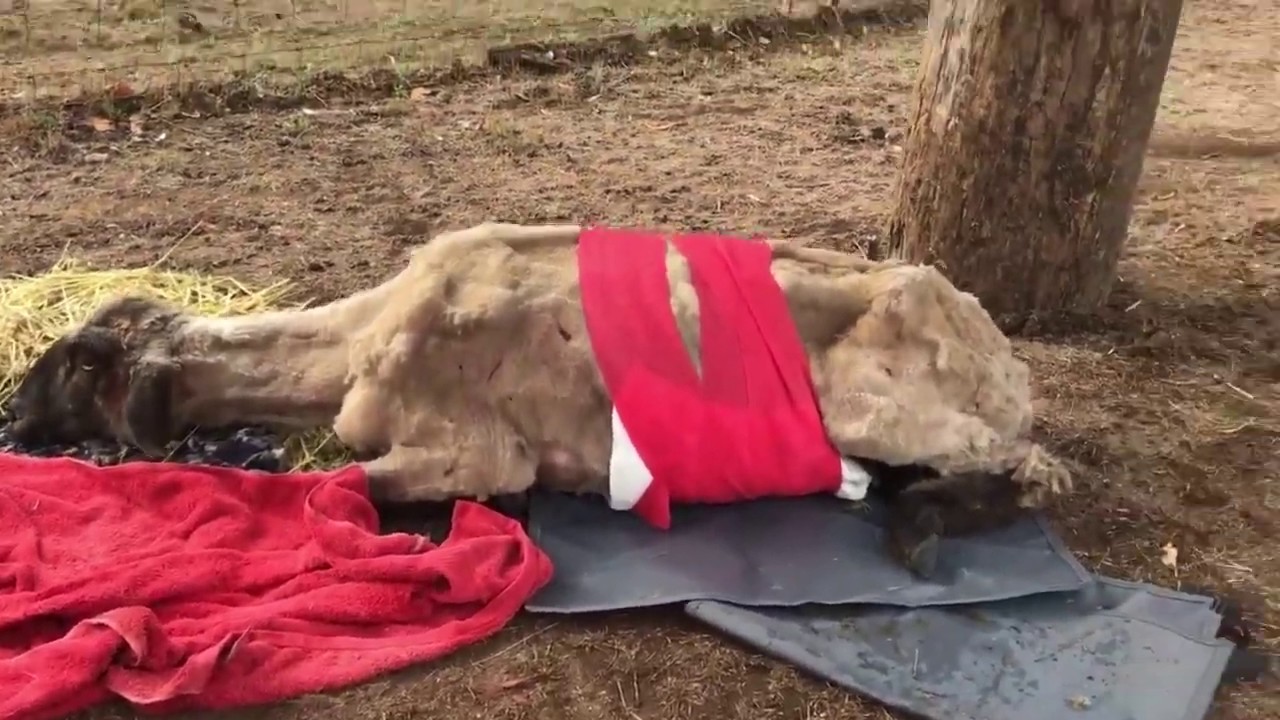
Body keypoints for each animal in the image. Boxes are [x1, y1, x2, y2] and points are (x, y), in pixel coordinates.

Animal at [4, 222, 1071, 577]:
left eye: (66, 364)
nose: (12, 417)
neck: (350, 349)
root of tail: (999, 348)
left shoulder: (471, 448)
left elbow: (329, 488)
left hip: (877, 403)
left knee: (1037, 471)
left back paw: (921, 523)